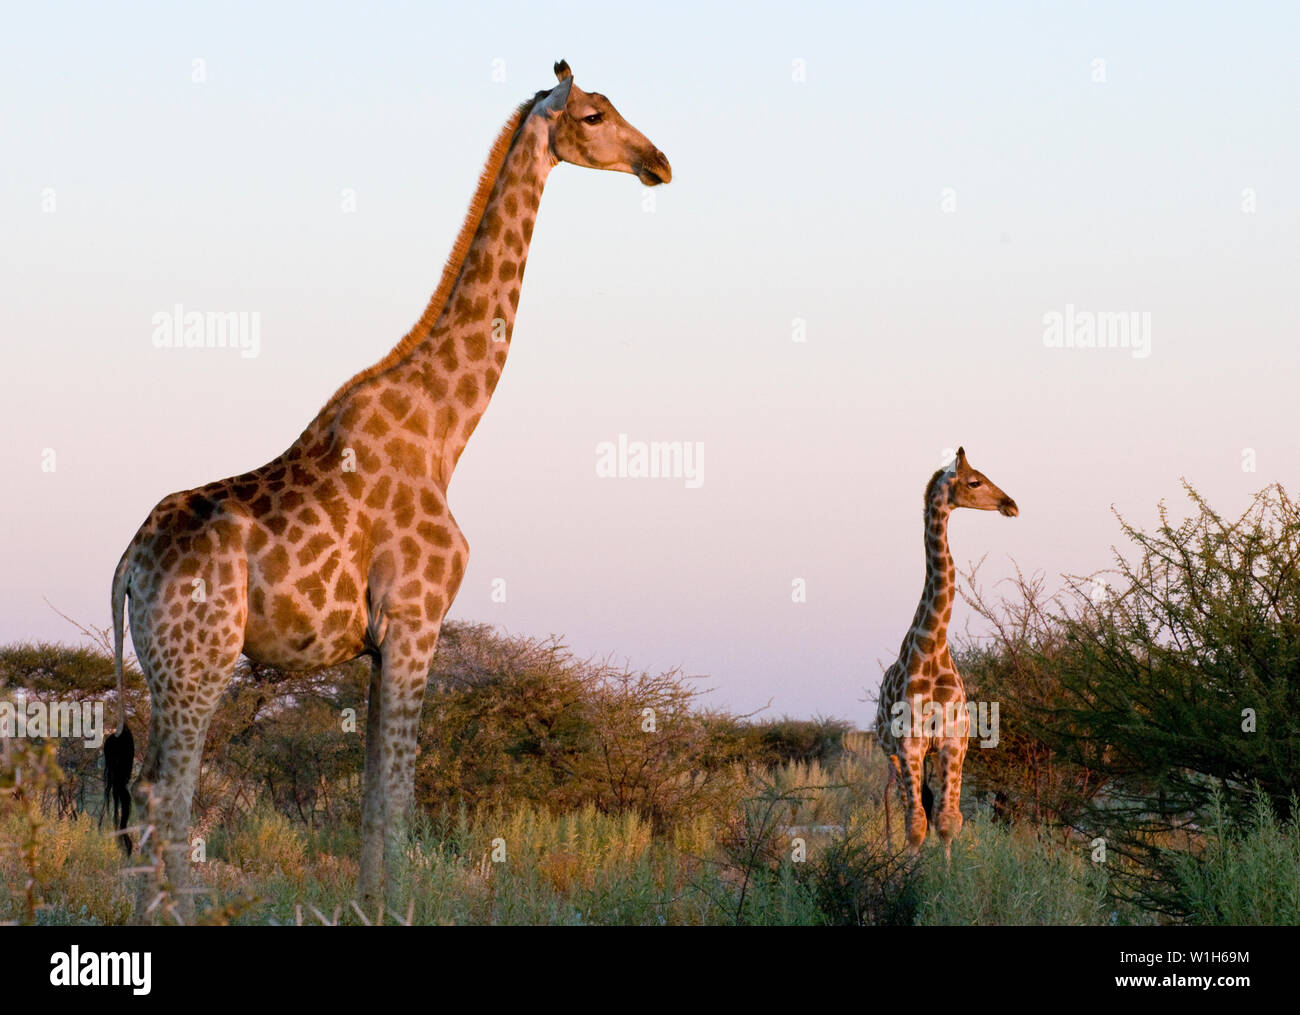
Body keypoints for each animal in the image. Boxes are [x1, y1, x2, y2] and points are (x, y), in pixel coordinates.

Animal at [104, 60, 671, 919]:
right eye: (595, 115)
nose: (658, 162)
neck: (445, 429)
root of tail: (128, 566)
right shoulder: (415, 618)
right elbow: (396, 801)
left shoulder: (378, 643)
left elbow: (373, 802)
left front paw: (370, 904)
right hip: (197, 657)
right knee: (168, 794)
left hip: (165, 662)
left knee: (142, 793)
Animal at [874, 447, 1018, 858]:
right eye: (975, 481)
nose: (1010, 504)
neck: (932, 647)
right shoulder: (909, 743)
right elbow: (916, 825)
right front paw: (911, 871)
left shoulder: (953, 743)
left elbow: (947, 820)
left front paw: (946, 872)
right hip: (890, 750)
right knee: (896, 799)